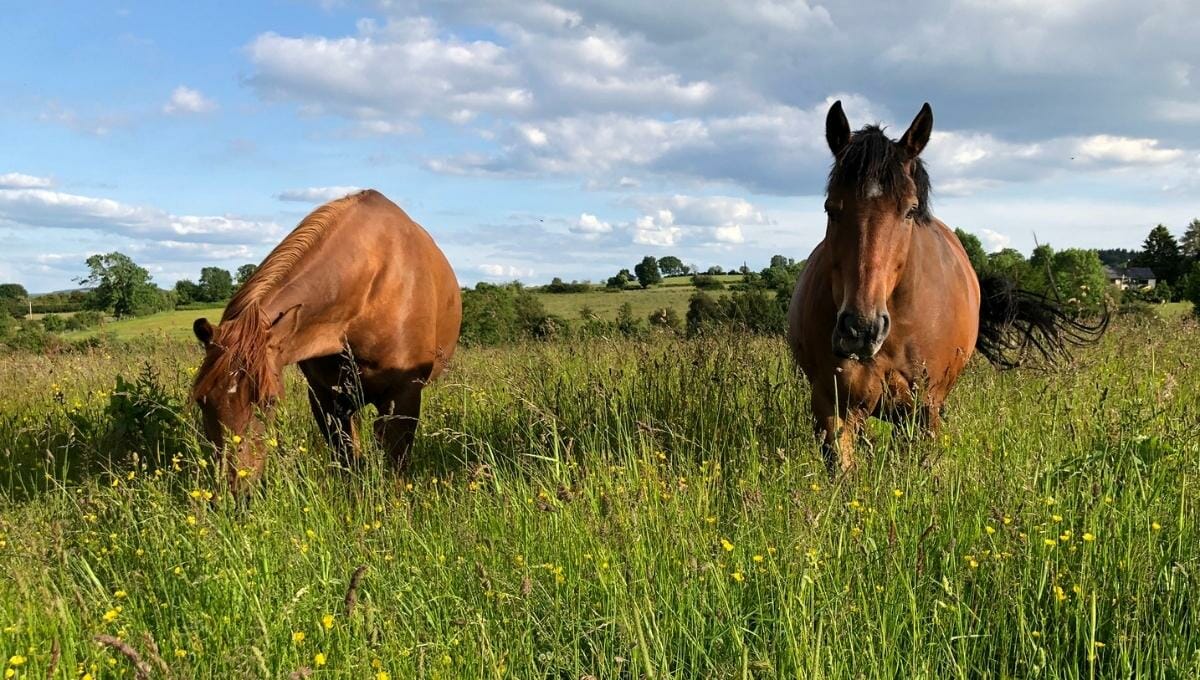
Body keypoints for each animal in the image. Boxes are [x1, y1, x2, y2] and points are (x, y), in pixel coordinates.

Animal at [191, 189, 461, 491]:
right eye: (201, 400)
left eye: (270, 401)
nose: (235, 489)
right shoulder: (324, 397)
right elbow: (346, 460)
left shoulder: (404, 396)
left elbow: (396, 466)